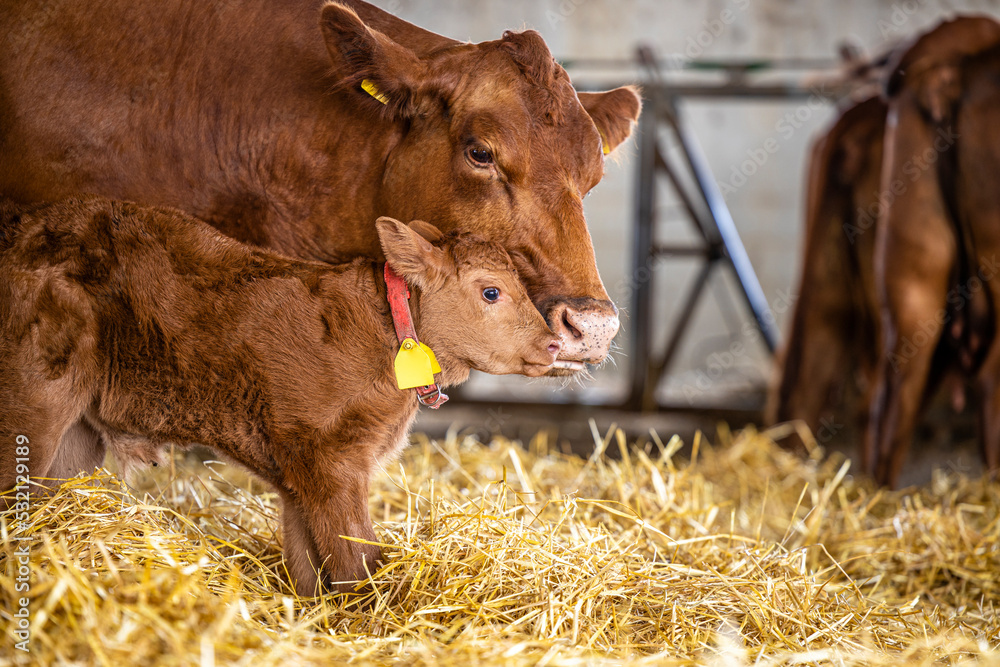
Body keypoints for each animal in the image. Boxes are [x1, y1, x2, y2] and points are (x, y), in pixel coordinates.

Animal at [0, 196, 561, 594]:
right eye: (491, 291)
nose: (554, 342)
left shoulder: (297, 470)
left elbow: (308, 565)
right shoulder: (332, 461)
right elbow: (355, 559)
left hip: (76, 434)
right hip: (31, 405)